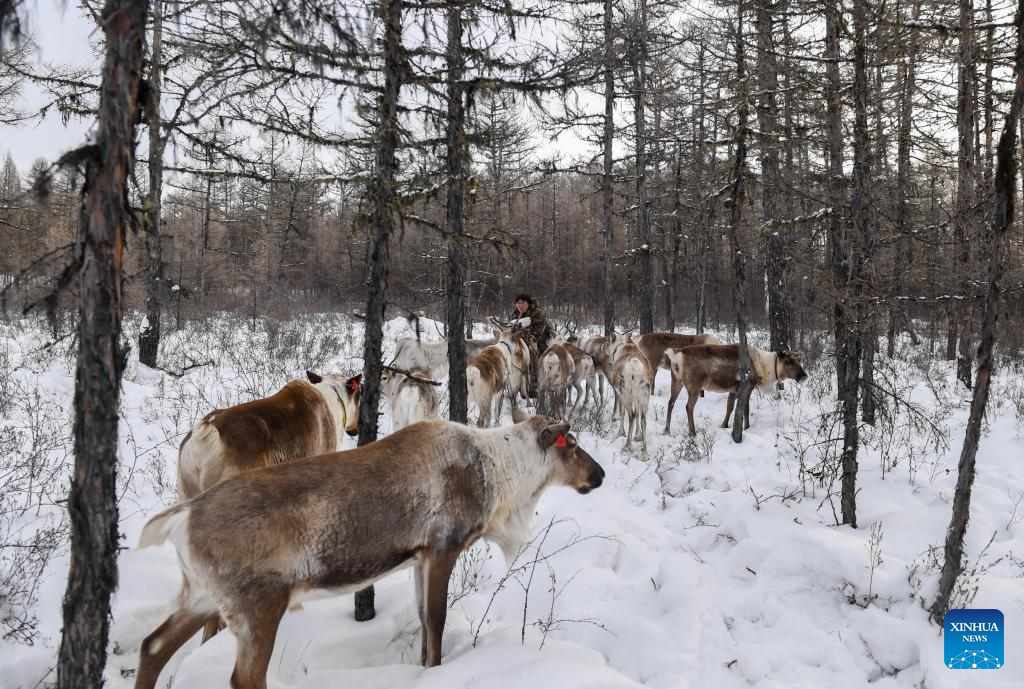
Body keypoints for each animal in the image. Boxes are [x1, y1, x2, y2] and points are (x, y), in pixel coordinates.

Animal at [132, 412, 605, 689]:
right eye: (571, 444)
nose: (598, 475)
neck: (500, 483)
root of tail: (182, 516)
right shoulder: (443, 545)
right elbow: (436, 621)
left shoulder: (419, 555)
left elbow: (423, 621)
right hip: (256, 603)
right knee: (243, 678)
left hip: (202, 592)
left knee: (152, 646)